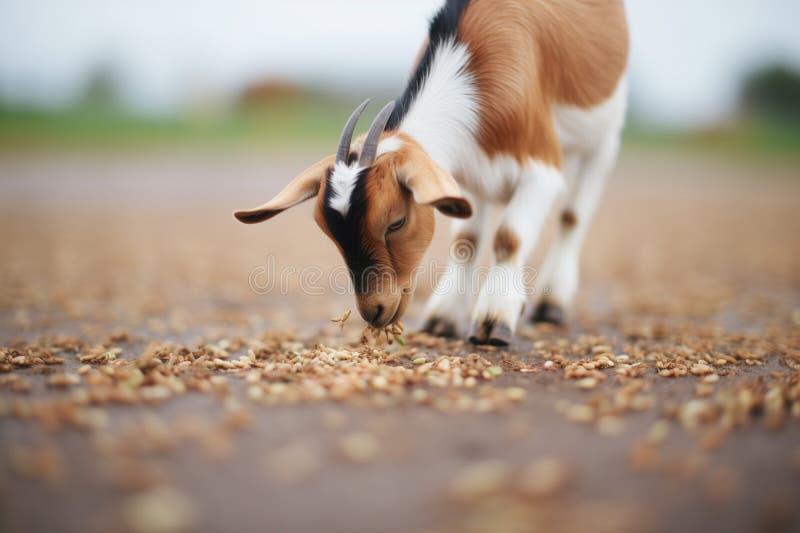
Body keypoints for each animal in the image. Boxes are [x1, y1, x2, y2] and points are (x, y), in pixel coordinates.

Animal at [234, 0, 629, 345]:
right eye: (328, 231)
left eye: (395, 222)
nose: (374, 311)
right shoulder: (463, 178)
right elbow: (466, 241)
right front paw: (443, 319)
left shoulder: (540, 168)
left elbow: (508, 237)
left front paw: (494, 321)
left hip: (605, 137)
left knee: (572, 216)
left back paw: (551, 305)